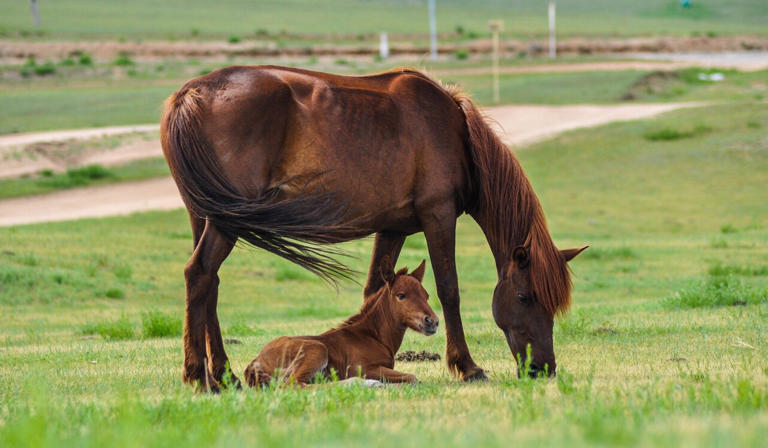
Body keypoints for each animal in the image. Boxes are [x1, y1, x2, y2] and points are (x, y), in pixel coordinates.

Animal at [243, 258, 437, 387]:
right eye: (401, 295)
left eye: (426, 296)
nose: (432, 322)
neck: (372, 336)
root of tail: (255, 362)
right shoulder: (364, 368)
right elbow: (412, 377)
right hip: (317, 349)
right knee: (294, 385)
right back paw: (364, 383)